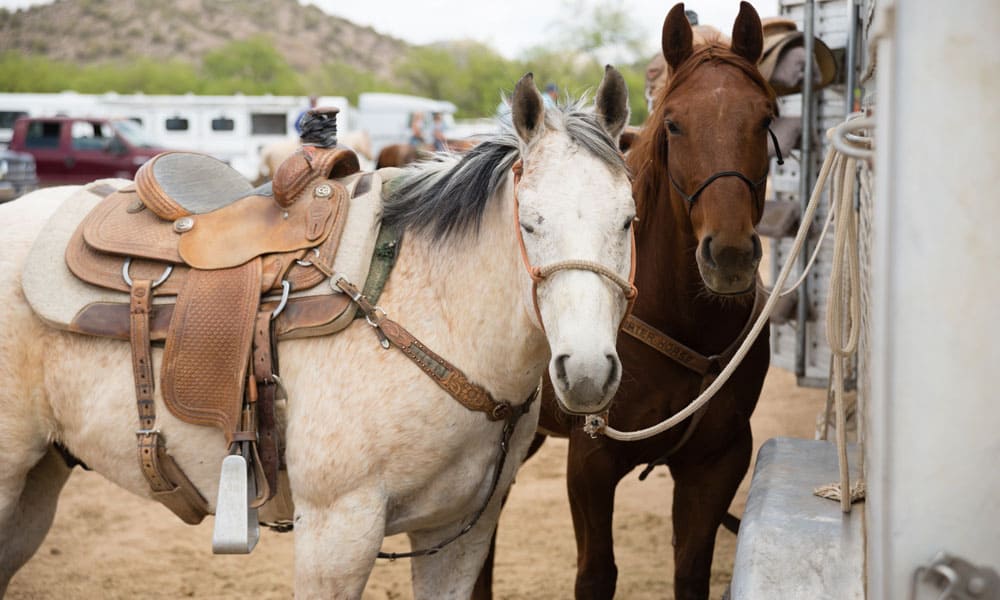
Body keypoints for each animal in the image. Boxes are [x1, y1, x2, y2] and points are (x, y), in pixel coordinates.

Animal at [0, 69, 636, 598]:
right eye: (530, 223)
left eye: (628, 219)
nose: (585, 370)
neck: (433, 313)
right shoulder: (338, 531)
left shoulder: (458, 535)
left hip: (39, 481)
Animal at [475, 4, 774, 599]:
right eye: (675, 123)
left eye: (765, 119)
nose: (729, 255)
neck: (683, 323)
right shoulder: (592, 458)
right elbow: (596, 574)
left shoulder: (720, 461)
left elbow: (690, 571)